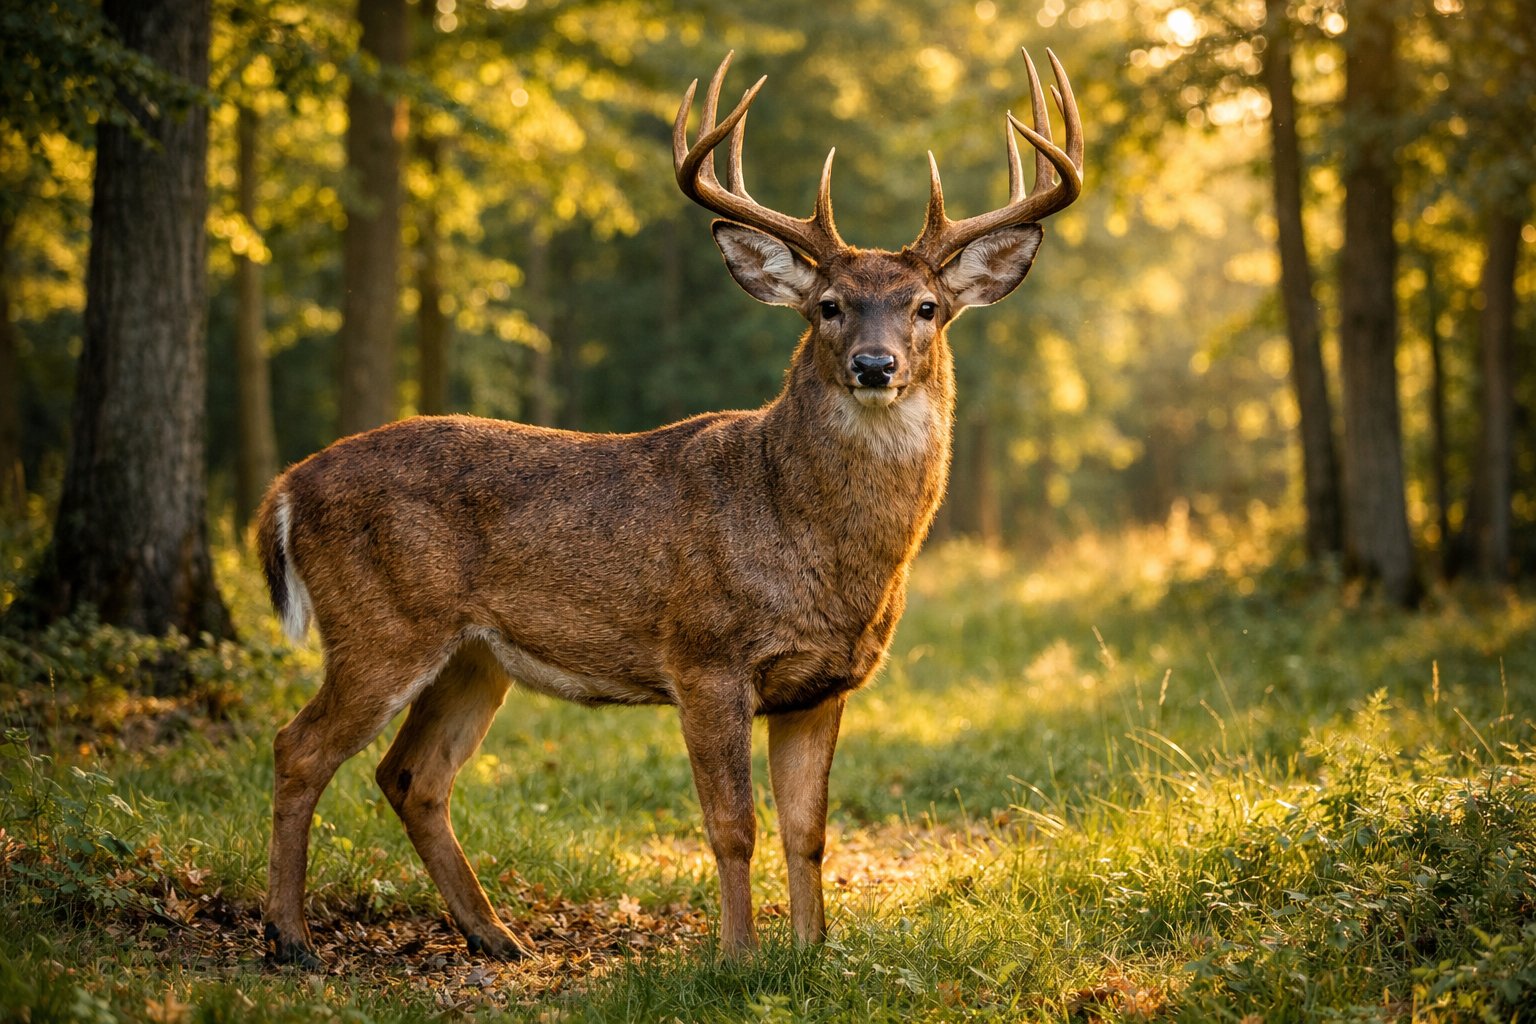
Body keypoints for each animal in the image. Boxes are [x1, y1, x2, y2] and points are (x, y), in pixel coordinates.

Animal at [256, 47, 1083, 967]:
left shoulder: (826, 682)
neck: (810, 540)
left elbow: (808, 832)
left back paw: (496, 936)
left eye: (927, 308)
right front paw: (739, 957)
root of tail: (287, 486)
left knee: (411, 775)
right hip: (380, 625)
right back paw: (290, 937)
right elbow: (732, 827)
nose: (875, 364)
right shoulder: (705, 657)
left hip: (472, 655)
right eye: (827, 306)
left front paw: (812, 953)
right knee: (299, 749)